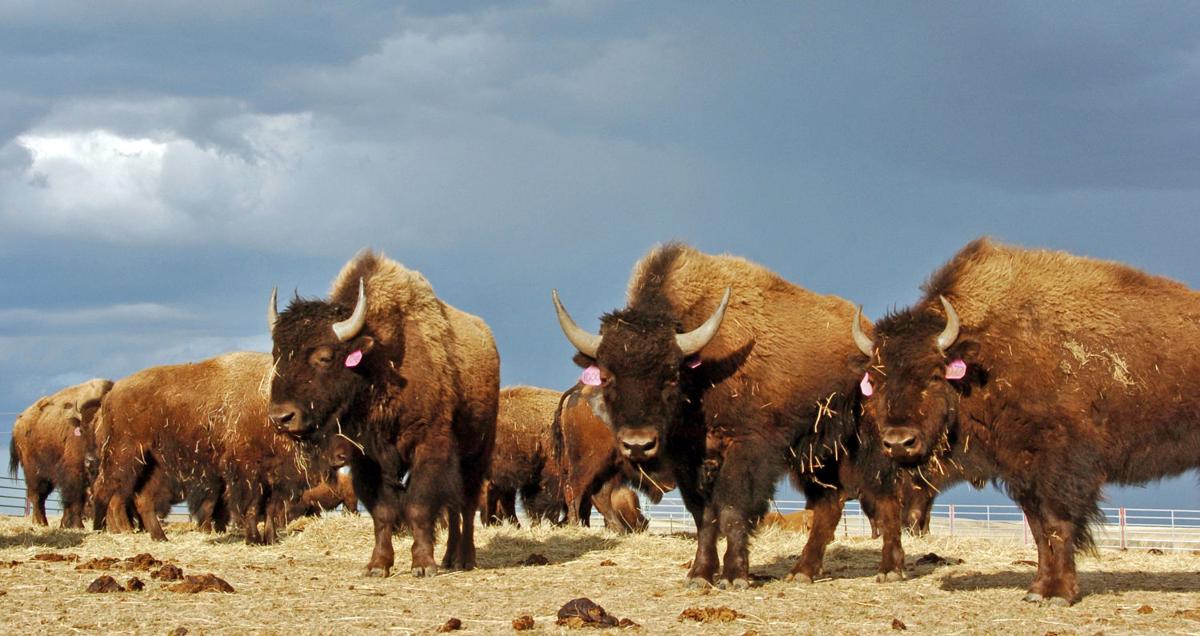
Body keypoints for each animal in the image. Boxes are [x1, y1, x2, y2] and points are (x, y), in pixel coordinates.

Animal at [9, 378, 112, 528]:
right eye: (82, 430)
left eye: (102, 429)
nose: (90, 460)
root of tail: (19, 421)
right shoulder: (74, 472)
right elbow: (76, 499)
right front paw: (77, 525)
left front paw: (65, 524)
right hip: (34, 472)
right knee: (36, 496)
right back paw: (41, 522)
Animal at [267, 250, 499, 577]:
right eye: (276, 355)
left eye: (325, 357)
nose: (281, 418)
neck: (378, 362)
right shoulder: (366, 460)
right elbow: (383, 512)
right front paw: (378, 565)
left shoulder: (428, 446)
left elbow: (419, 506)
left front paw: (423, 565)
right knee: (454, 509)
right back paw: (450, 558)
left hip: (476, 453)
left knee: (465, 505)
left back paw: (464, 559)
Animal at [553, 243, 906, 588]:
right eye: (607, 376)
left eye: (671, 375)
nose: (637, 444)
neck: (702, 370)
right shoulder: (689, 463)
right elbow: (704, 517)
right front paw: (700, 575)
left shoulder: (744, 449)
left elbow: (733, 509)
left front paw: (735, 576)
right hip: (817, 456)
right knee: (828, 505)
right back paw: (802, 572)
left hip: (867, 446)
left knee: (886, 498)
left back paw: (890, 570)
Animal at [853, 237, 1200, 605]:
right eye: (875, 380)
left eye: (935, 375)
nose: (898, 442)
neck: (987, 353)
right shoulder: (1022, 473)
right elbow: (1038, 531)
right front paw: (1038, 589)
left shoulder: (1060, 470)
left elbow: (1057, 525)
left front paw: (1060, 593)